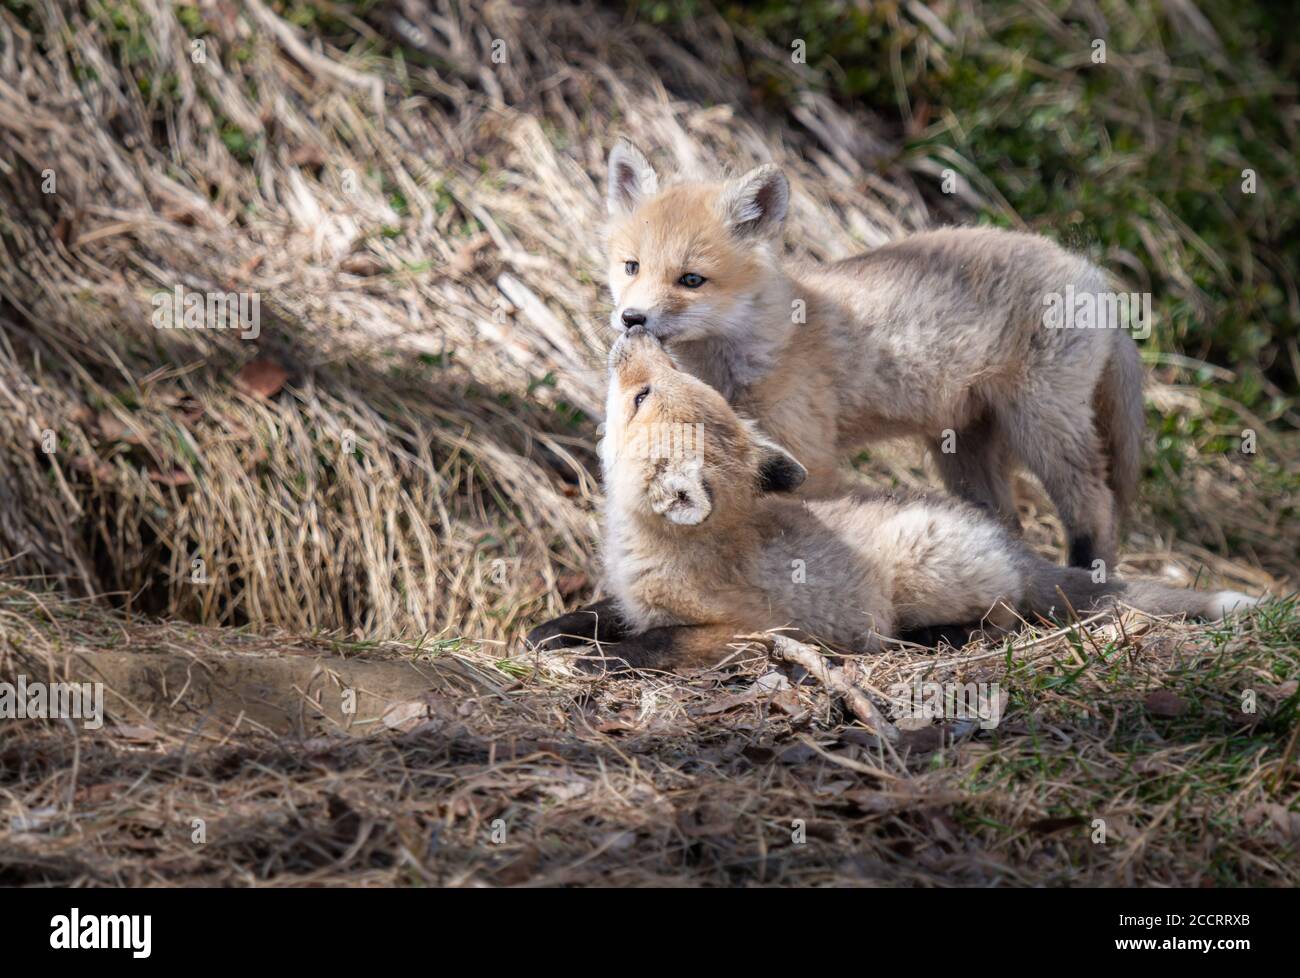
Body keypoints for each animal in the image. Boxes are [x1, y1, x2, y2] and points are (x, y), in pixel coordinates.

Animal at [562, 328, 1255, 671]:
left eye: (643, 394)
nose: (639, 332)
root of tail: (1009, 541)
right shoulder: (627, 602)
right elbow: (586, 617)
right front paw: (554, 636)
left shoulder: (747, 631)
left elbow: (654, 646)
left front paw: (596, 663)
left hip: (922, 571)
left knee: (1003, 619)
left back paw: (932, 641)